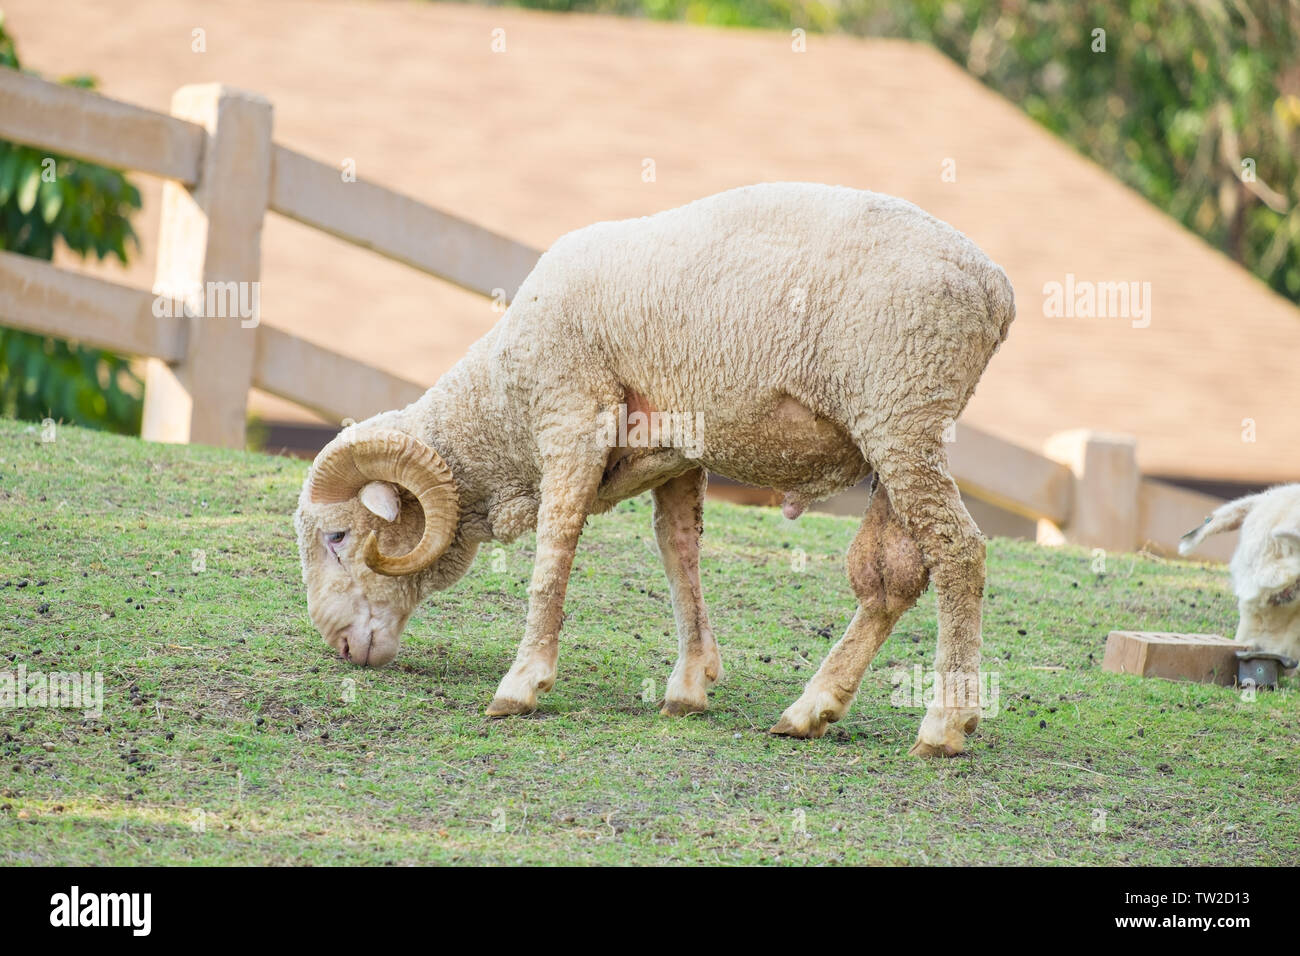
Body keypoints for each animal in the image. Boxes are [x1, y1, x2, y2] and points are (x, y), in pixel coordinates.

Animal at [293, 182, 1016, 756]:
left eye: (337, 538)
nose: (337, 645)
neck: (502, 407)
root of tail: (996, 288)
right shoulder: (678, 456)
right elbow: (679, 553)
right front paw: (690, 684)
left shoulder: (571, 416)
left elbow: (553, 550)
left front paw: (521, 684)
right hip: (898, 432)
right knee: (890, 580)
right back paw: (811, 708)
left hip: (902, 414)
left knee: (959, 552)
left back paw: (945, 723)